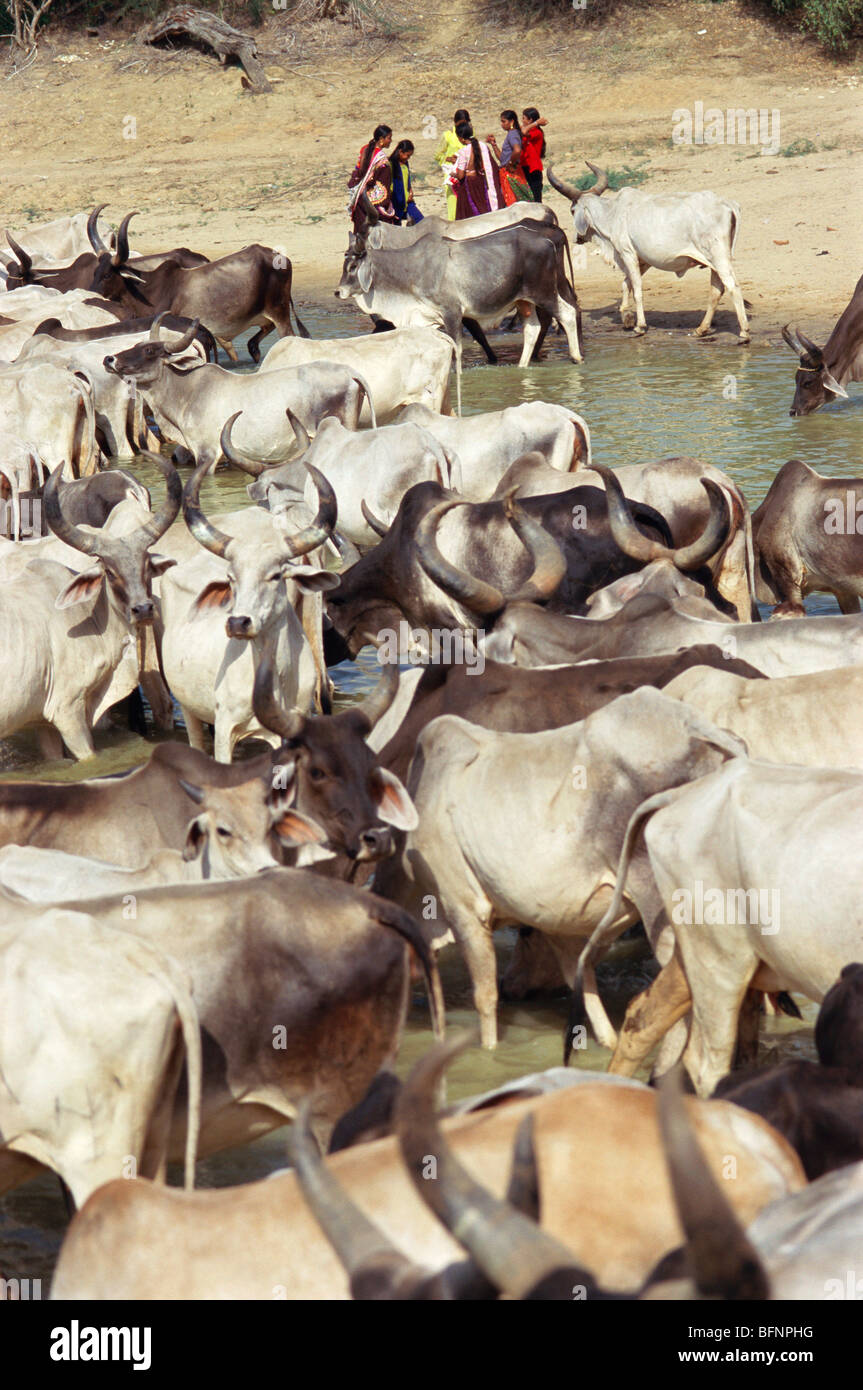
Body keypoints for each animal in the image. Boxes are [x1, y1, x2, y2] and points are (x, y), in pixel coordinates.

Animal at [104, 320, 376, 470]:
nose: (109, 359)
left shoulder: (207, 453)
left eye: (149, 350)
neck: (187, 390)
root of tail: (350, 372)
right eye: (137, 346)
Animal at [379, 687, 747, 1047]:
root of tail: (695, 726)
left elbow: (485, 999)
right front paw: (606, 1042)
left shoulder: (463, 907)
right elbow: (582, 986)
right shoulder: (557, 923)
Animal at [547, 162, 750, 342]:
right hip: (714, 261)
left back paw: (744, 332)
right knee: (716, 291)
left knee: (733, 286)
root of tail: (728, 204)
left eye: (572, 210)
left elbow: (636, 288)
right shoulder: (643, 260)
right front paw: (626, 317)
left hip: (718, 257)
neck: (613, 214)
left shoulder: (627, 253)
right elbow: (626, 283)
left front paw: (639, 326)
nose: (576, 238)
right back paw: (702, 329)